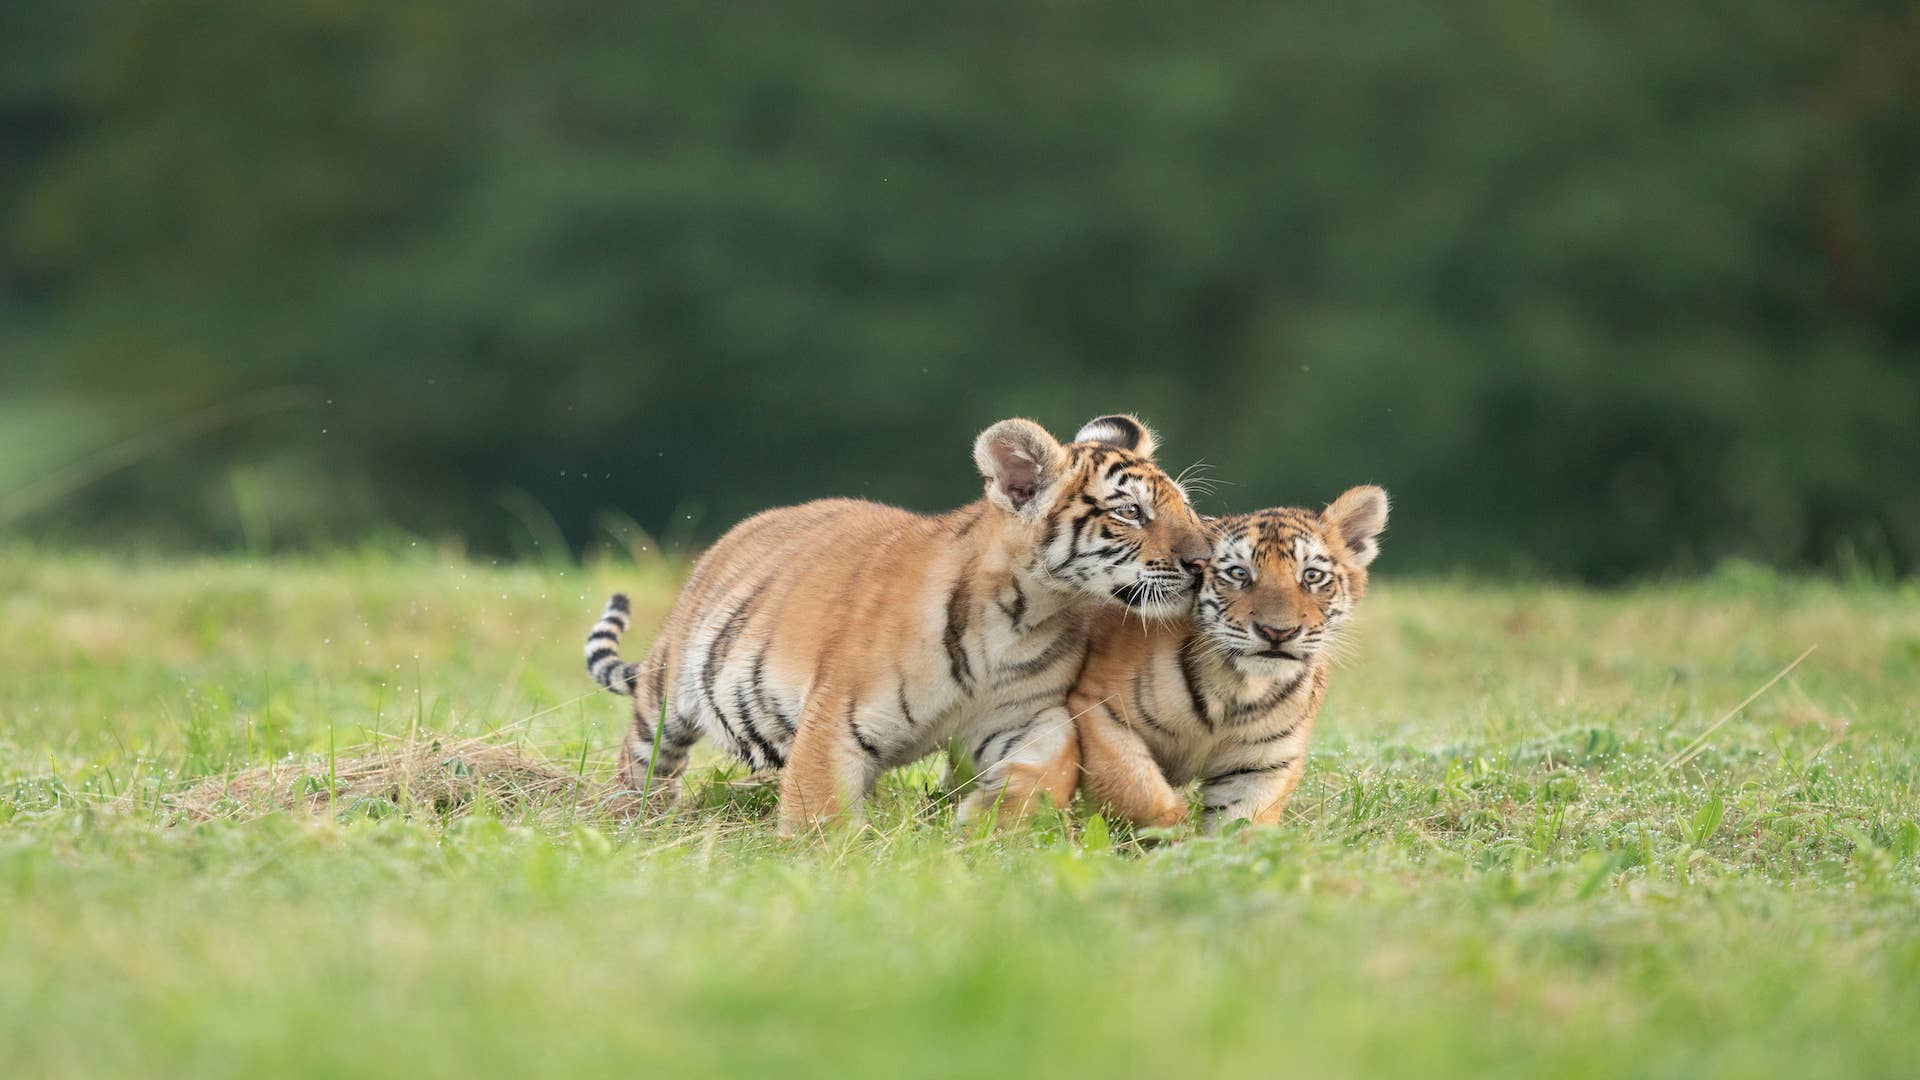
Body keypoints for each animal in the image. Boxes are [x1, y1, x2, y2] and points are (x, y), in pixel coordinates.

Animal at [584, 415, 1209, 836]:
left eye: (1186, 507)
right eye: (1129, 513)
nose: (1203, 562)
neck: (1025, 615)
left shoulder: (1024, 714)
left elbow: (1052, 764)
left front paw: (991, 823)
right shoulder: (835, 721)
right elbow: (820, 811)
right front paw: (823, 864)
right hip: (664, 701)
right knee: (643, 763)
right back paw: (627, 817)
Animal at [1010, 485, 1389, 832]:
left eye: (1311, 576)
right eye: (1238, 574)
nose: (1277, 632)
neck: (1238, 688)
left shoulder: (1264, 763)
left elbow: (1243, 827)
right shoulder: (1100, 711)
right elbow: (1136, 790)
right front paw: (1173, 837)